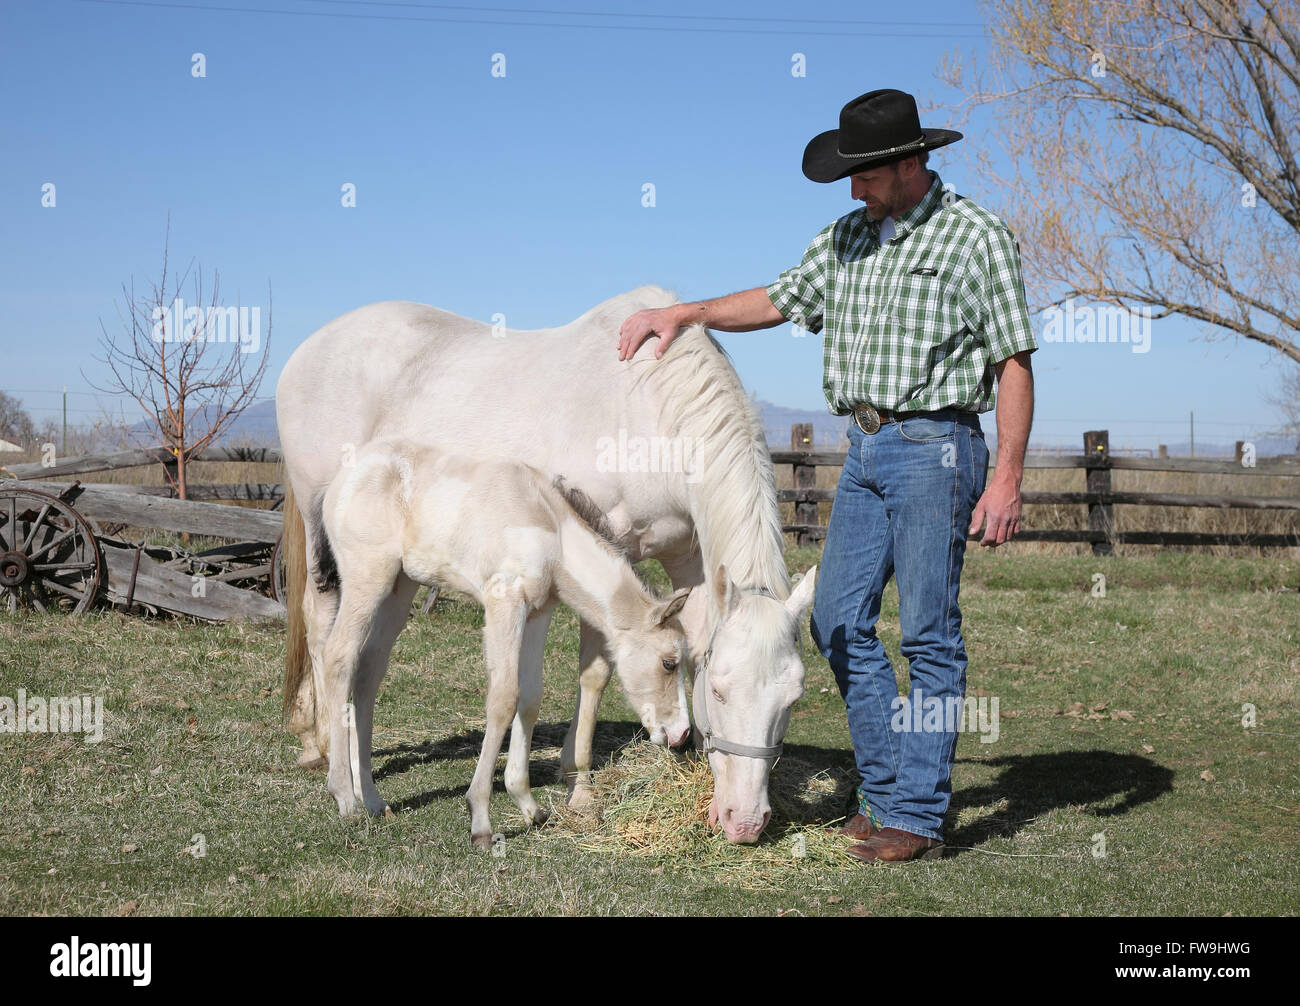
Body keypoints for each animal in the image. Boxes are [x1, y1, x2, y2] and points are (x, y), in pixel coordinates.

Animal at [317, 437, 690, 846]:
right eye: (668, 662)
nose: (681, 733)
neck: (551, 531)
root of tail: (342, 478)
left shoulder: (538, 612)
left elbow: (530, 698)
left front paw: (527, 804)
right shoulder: (504, 601)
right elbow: (503, 698)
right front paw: (480, 817)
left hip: (400, 587)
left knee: (368, 671)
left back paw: (372, 799)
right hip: (368, 578)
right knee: (338, 658)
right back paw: (345, 799)